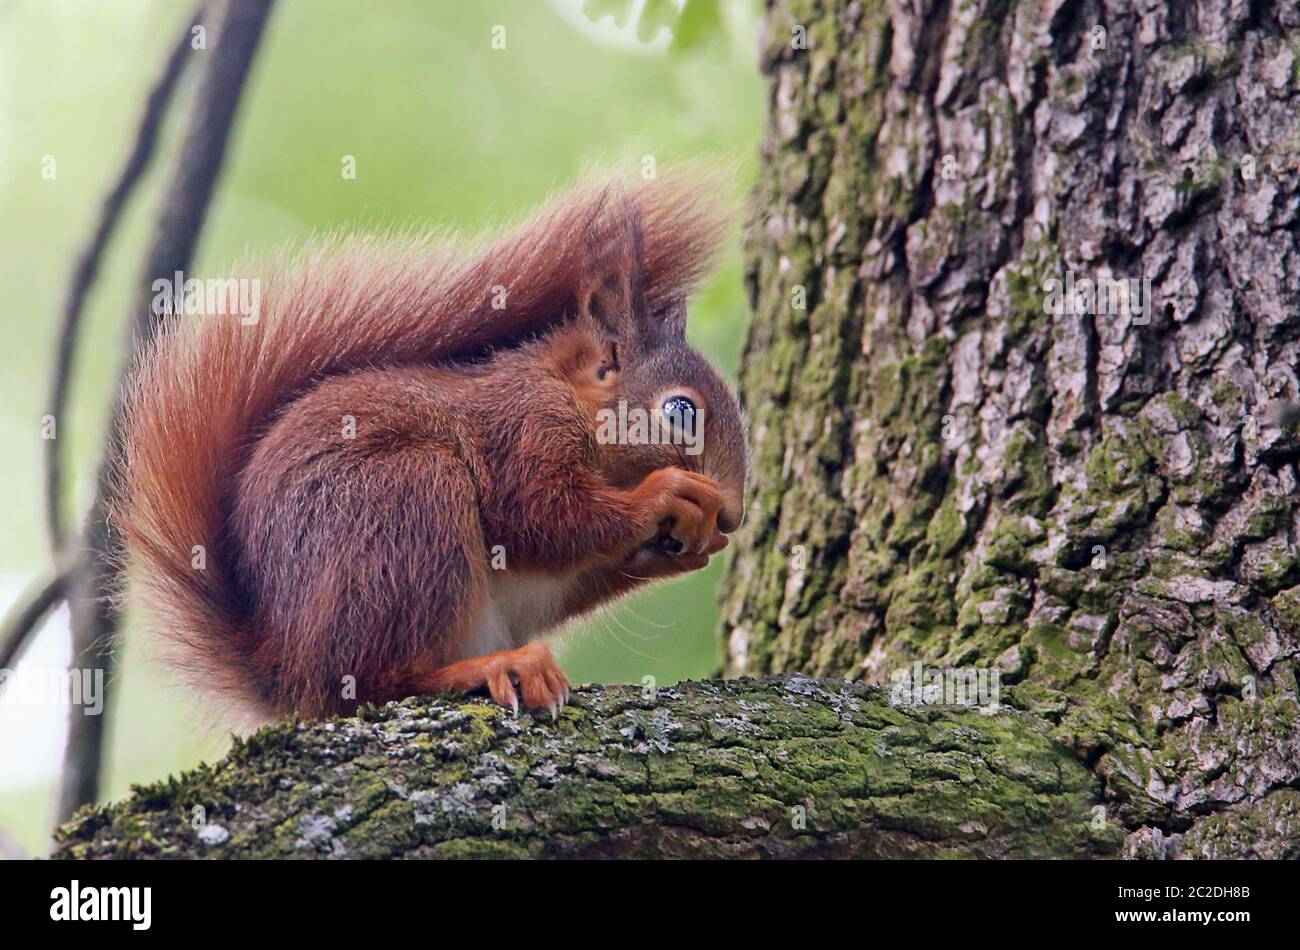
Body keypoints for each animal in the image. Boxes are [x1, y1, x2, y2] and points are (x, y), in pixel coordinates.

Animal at [113, 169, 748, 724]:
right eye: (681, 411)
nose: (734, 517)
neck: (569, 400)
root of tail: (287, 672)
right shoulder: (520, 431)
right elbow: (544, 515)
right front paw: (667, 493)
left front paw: (690, 548)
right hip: (407, 506)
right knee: (375, 681)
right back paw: (491, 667)